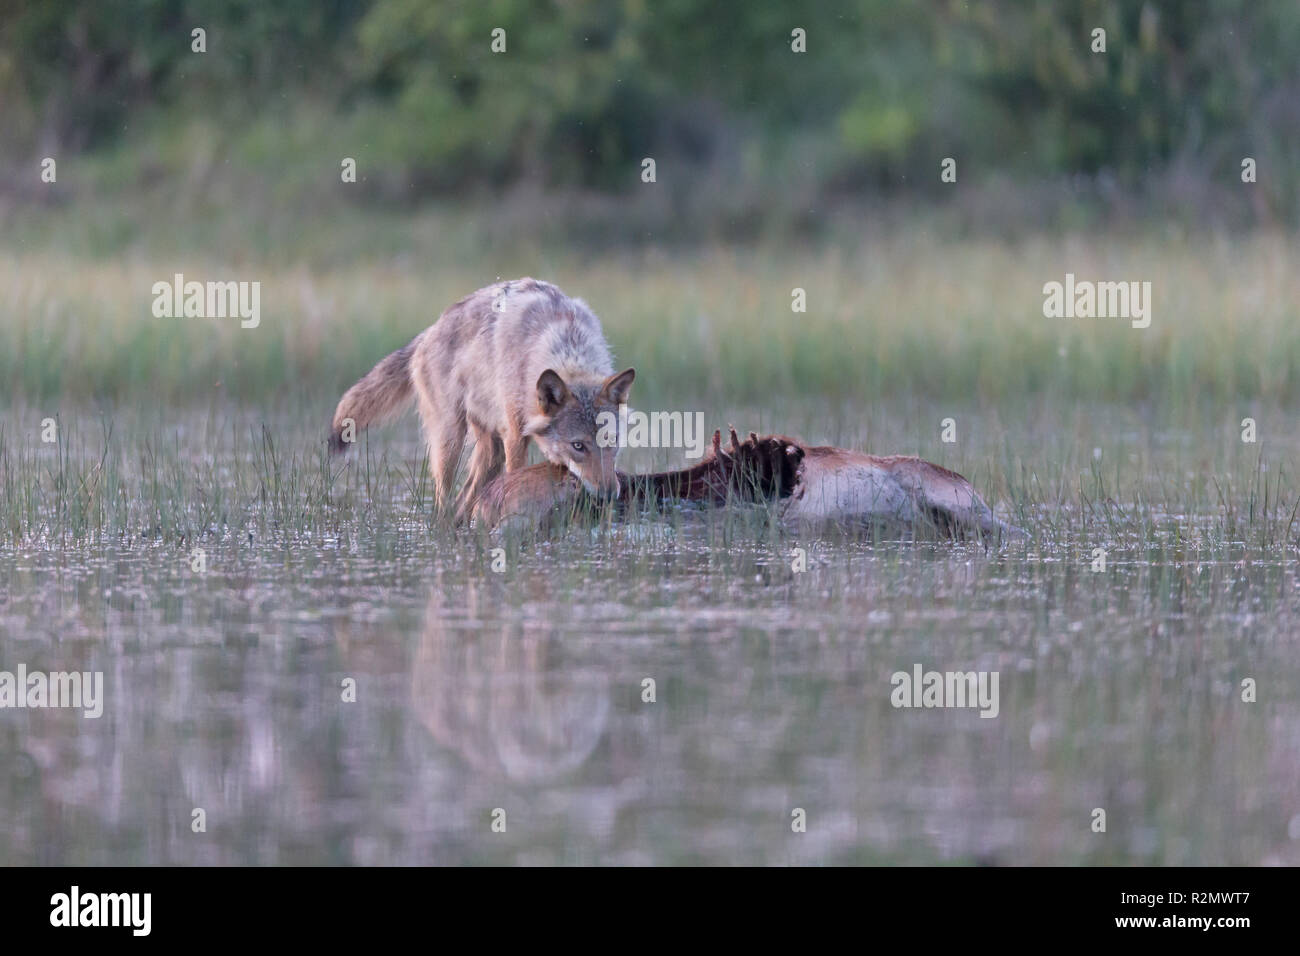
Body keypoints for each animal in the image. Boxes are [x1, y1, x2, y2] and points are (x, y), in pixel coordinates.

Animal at [330, 277, 634, 520]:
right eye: (578, 446)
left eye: (613, 441)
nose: (609, 494)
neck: (565, 348)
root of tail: (427, 333)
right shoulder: (516, 437)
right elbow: (517, 478)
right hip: (451, 441)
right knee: (443, 501)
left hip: (490, 453)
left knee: (464, 501)